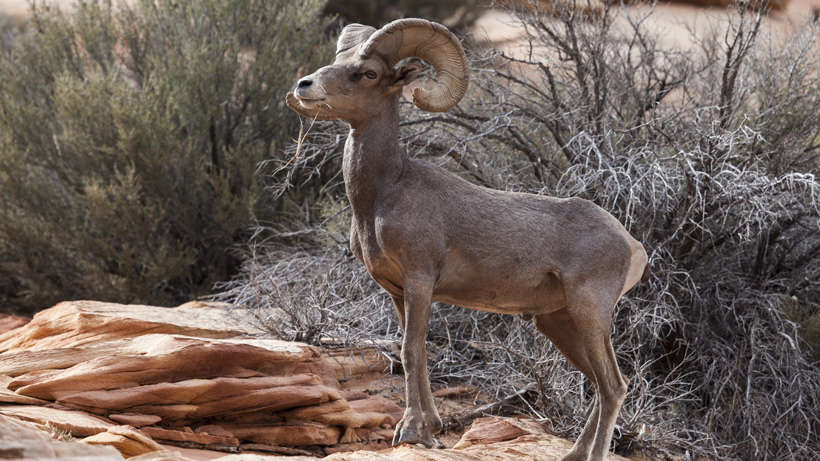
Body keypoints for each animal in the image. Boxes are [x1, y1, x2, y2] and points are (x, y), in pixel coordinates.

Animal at [287, 18, 650, 461]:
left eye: (367, 73)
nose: (304, 86)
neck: (381, 195)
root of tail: (633, 247)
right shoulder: (397, 291)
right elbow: (416, 353)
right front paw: (429, 430)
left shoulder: (420, 282)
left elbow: (410, 351)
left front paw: (409, 432)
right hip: (559, 321)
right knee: (599, 384)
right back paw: (573, 455)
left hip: (589, 311)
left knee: (613, 386)